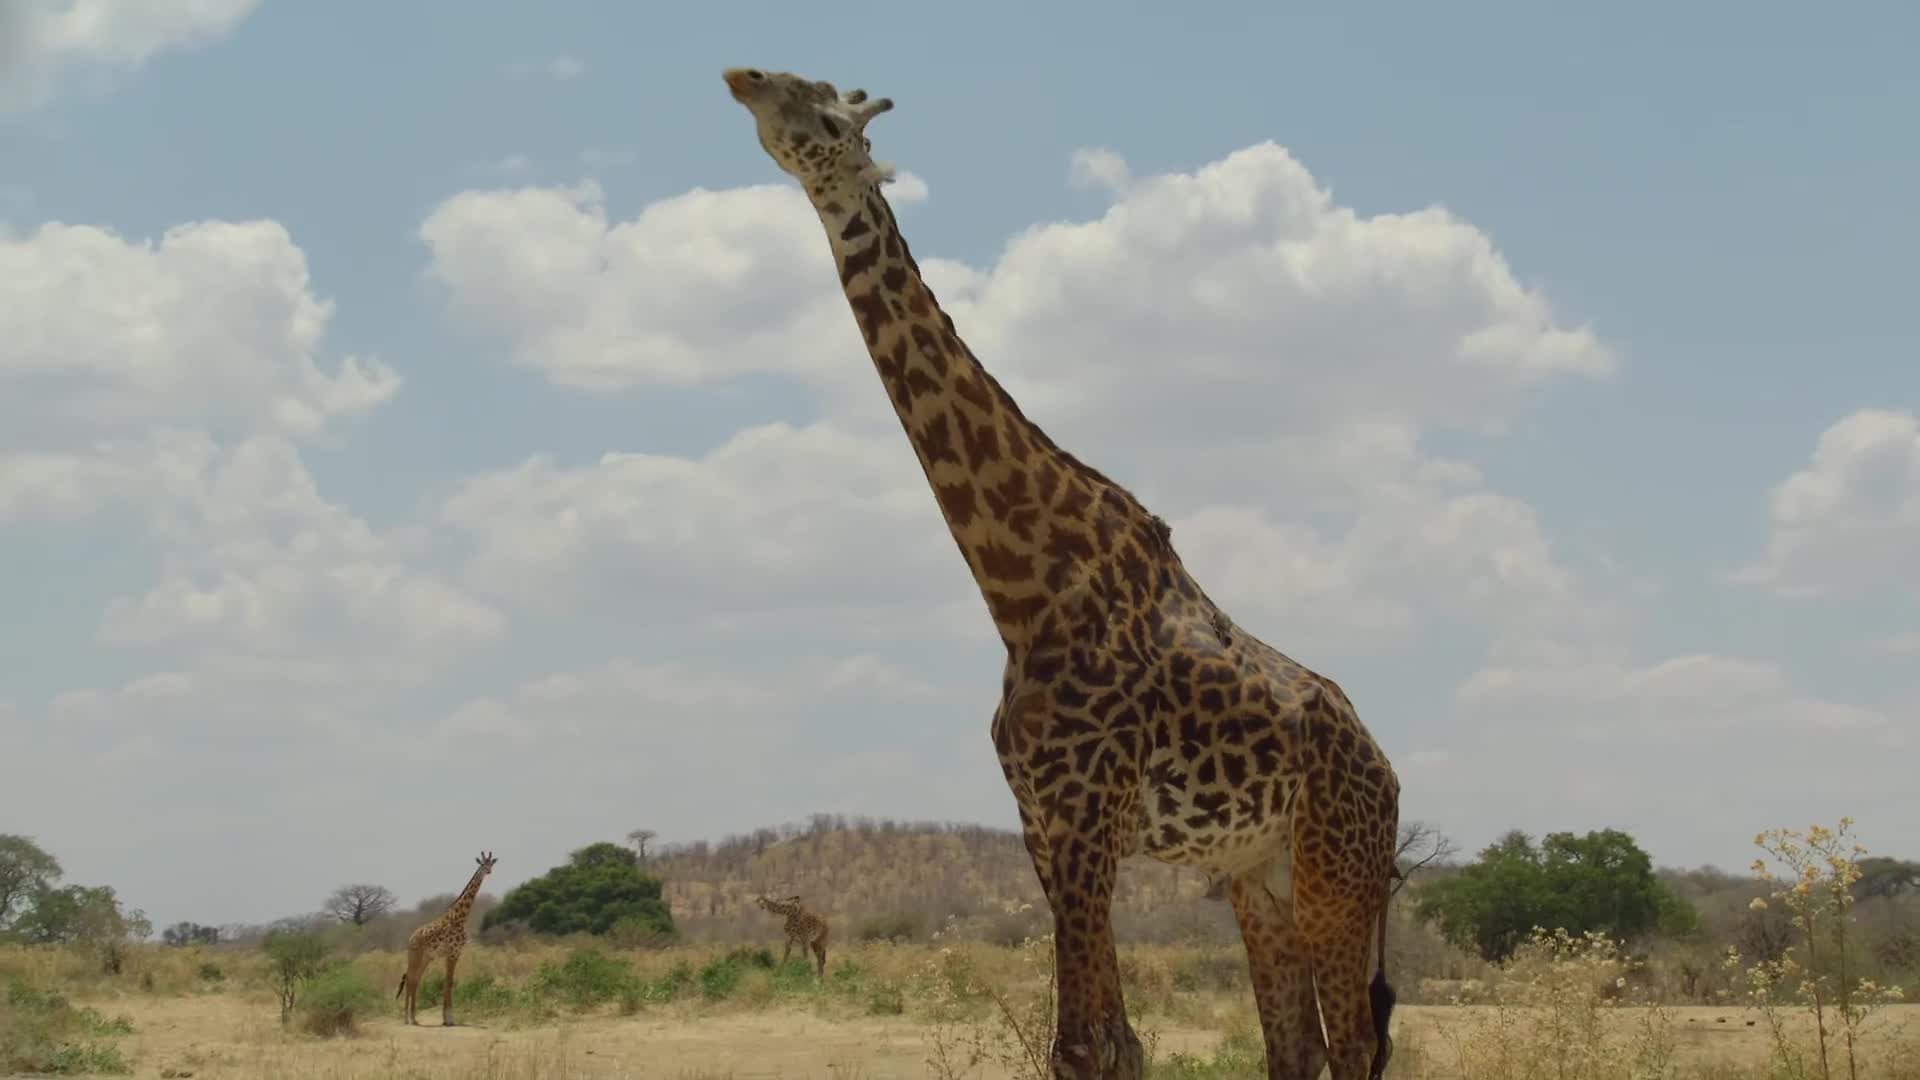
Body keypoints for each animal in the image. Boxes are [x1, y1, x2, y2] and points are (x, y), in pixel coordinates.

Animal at [396, 851, 496, 1027]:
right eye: (482, 864)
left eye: (491, 864)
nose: (488, 872)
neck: (460, 918)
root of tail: (410, 938)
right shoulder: (451, 952)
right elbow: (448, 982)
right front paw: (449, 1019)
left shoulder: (456, 953)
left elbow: (449, 981)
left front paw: (447, 1018)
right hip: (414, 956)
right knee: (410, 979)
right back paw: (407, 1018)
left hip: (426, 958)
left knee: (415, 980)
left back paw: (414, 1017)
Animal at [723, 68, 1402, 1080]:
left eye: (823, 105)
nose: (744, 81)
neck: (1023, 586)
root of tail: (1391, 776)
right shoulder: (1043, 822)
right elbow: (1114, 1044)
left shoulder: (1088, 814)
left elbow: (1084, 1045)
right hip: (1260, 877)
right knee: (1298, 1047)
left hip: (1338, 869)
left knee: (1355, 1044)